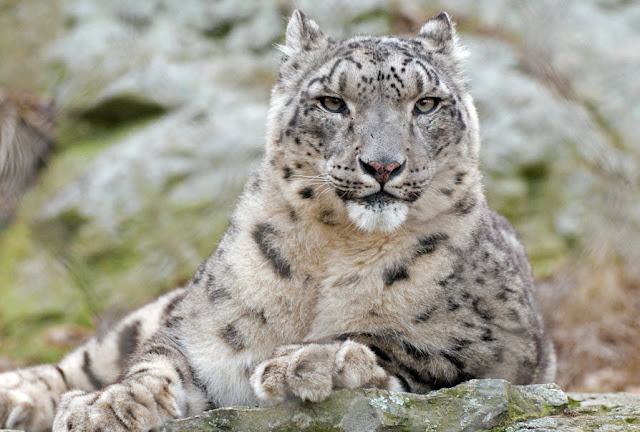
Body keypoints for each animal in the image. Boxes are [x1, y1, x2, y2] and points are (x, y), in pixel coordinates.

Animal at [0, 11, 555, 432]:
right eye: (332, 102)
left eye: (426, 104)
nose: (382, 165)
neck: (339, 246)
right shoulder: (198, 331)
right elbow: (156, 362)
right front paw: (108, 407)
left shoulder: (499, 344)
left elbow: (395, 342)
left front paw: (306, 364)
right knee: (91, 355)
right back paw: (18, 395)